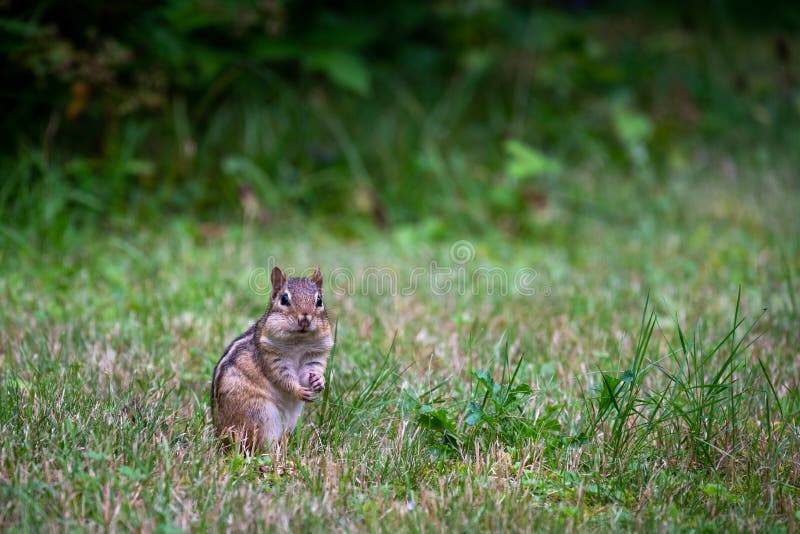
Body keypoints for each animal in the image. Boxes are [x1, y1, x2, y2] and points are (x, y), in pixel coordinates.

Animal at [211, 266, 333, 452]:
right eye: (284, 299)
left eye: (319, 300)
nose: (304, 318)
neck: (299, 342)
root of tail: (220, 436)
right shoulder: (272, 359)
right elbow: (283, 378)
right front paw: (299, 391)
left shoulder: (315, 356)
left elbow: (310, 373)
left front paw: (319, 382)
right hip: (260, 414)